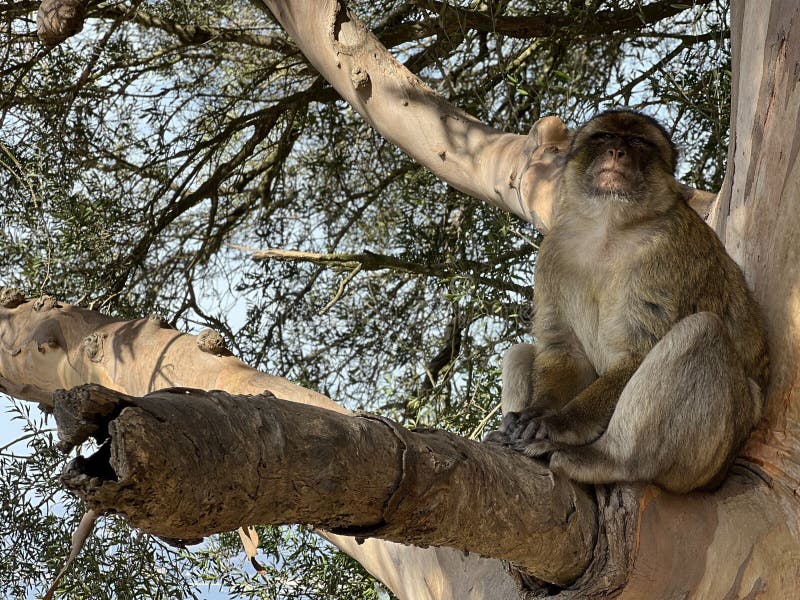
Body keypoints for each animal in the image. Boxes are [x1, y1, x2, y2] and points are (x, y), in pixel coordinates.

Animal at [486, 110, 768, 494]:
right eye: (604, 137)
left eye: (637, 141)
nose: (617, 152)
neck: (609, 227)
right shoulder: (553, 251)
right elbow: (563, 349)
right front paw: (536, 413)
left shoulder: (666, 250)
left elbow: (637, 350)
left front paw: (557, 424)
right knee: (519, 352)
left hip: (711, 458)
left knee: (702, 332)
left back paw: (606, 459)